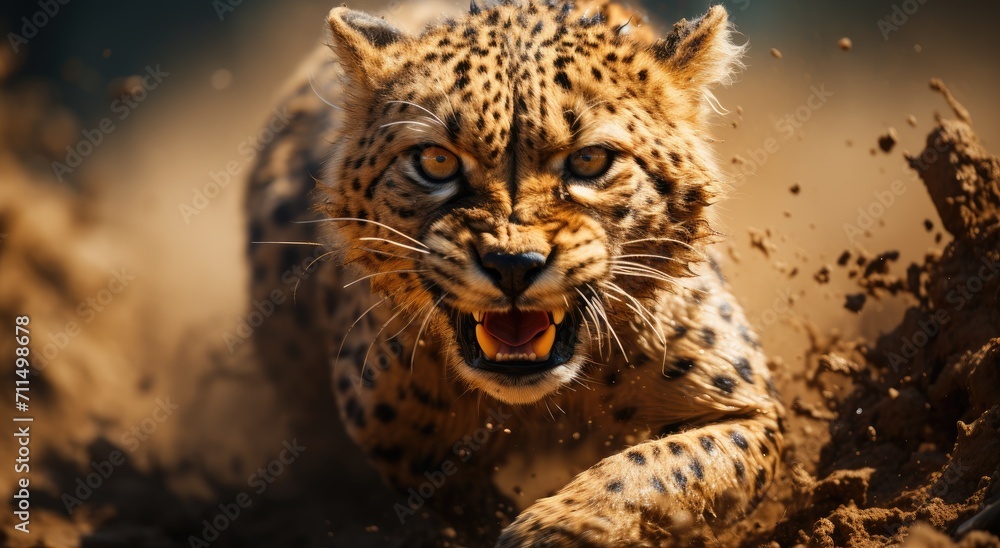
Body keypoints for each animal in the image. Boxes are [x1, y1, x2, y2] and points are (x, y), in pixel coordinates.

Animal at [244, 1, 785, 545]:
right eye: (436, 161)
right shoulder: (391, 438)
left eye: (590, 159)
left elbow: (660, 467)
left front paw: (556, 528)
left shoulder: (751, 412)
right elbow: (462, 502)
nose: (511, 266)